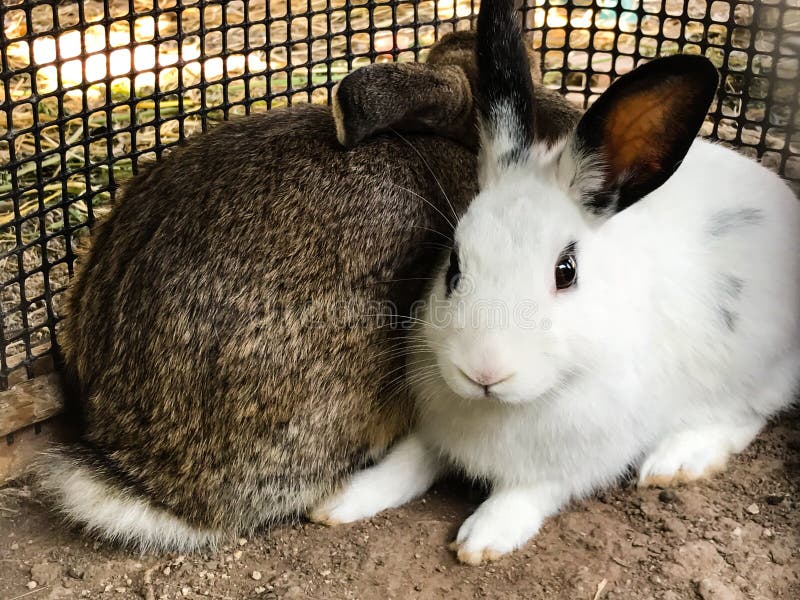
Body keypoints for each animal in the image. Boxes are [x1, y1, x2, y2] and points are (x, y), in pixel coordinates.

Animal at [310, 0, 800, 565]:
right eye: (454, 266)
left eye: (566, 272)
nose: (484, 372)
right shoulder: (432, 432)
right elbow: (404, 464)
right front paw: (342, 501)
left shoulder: (572, 467)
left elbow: (526, 493)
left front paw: (483, 539)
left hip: (755, 369)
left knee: (748, 413)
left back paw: (678, 460)